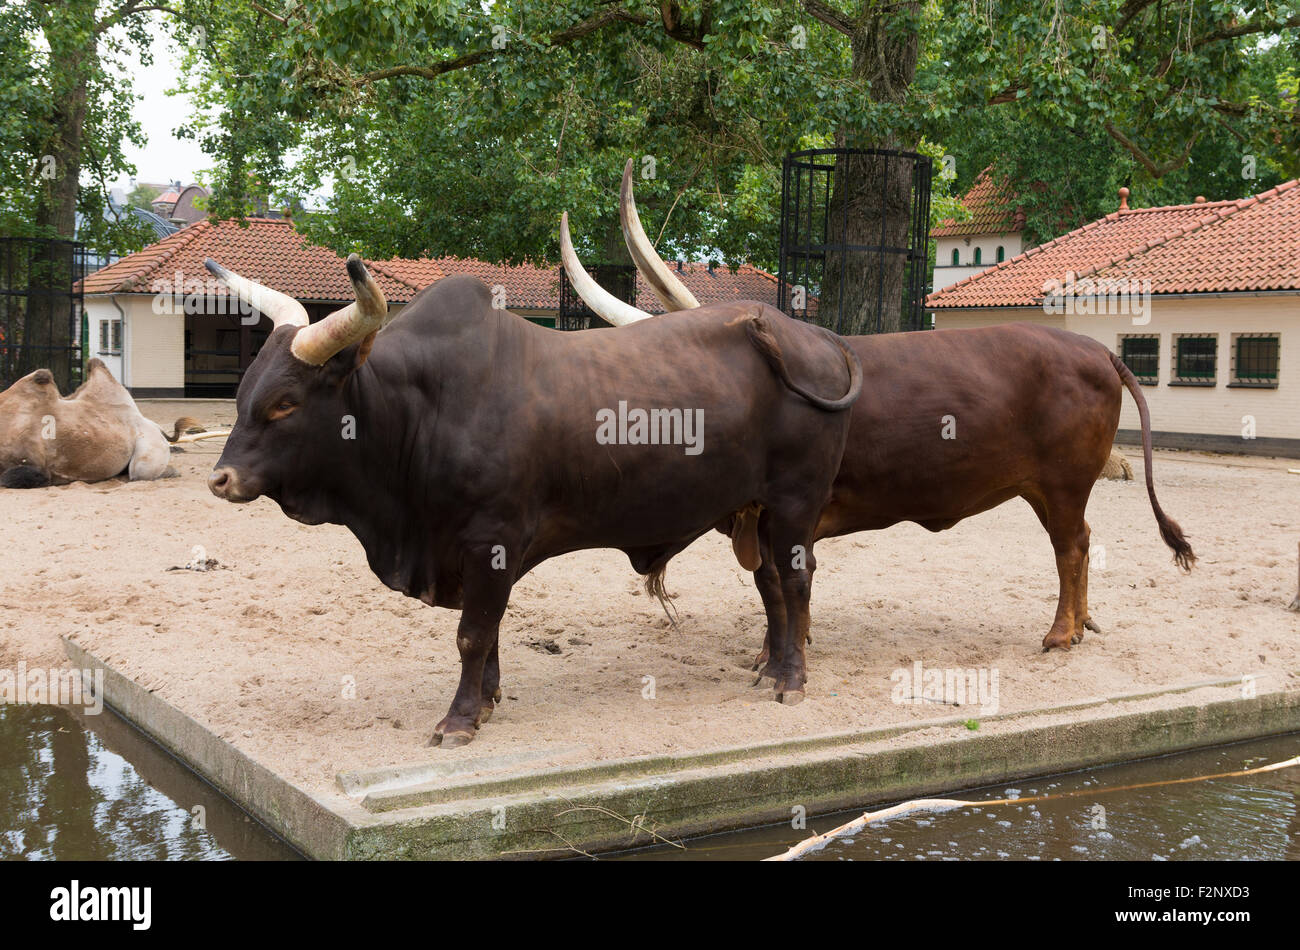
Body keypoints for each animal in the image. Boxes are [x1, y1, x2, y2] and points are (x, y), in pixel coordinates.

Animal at [202, 246, 862, 746]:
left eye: (286, 402)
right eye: (243, 390)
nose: (221, 479)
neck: (422, 407)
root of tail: (812, 336)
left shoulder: (490, 541)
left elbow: (472, 633)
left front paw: (459, 719)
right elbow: (488, 631)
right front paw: (488, 701)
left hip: (794, 503)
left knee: (796, 583)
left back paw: (791, 680)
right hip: (754, 511)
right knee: (772, 585)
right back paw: (772, 668)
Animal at [569, 160, 1195, 677]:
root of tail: (1095, 350)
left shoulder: (788, 515)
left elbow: (783, 584)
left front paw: (782, 659)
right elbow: (771, 587)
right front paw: (774, 653)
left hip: (1064, 481)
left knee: (1069, 546)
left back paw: (1061, 633)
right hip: (1041, 485)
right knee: (1082, 541)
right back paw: (1083, 624)